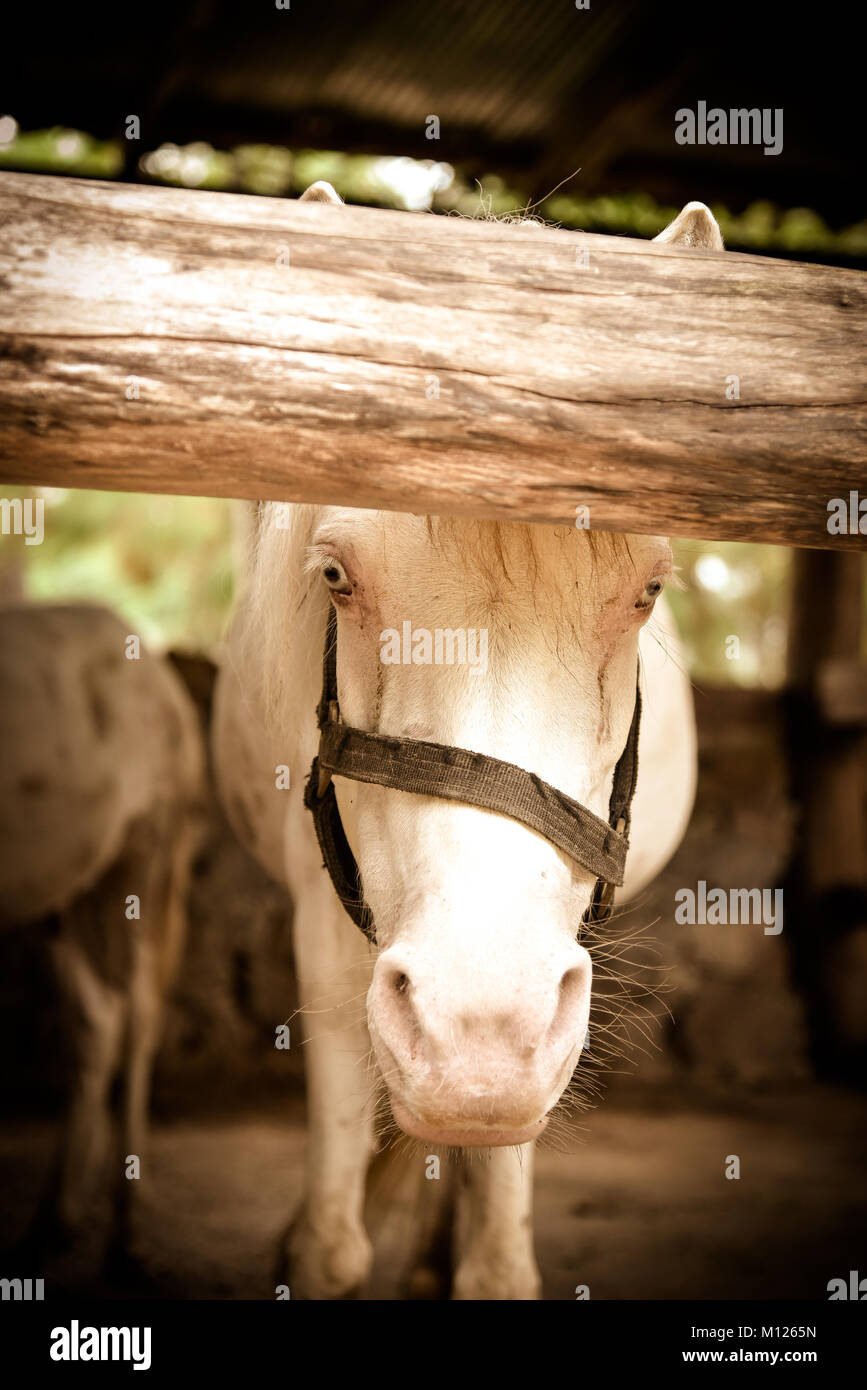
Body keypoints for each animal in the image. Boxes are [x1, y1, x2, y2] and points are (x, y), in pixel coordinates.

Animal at [0, 602, 204, 1267]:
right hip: (63, 887)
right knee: (96, 1020)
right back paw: (53, 1222)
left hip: (141, 854)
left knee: (137, 1015)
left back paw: (126, 1229)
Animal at [213, 187, 721, 1299]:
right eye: (334, 577)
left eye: (648, 592)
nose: (477, 1032)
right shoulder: (323, 913)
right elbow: (332, 1242)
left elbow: (496, 1257)